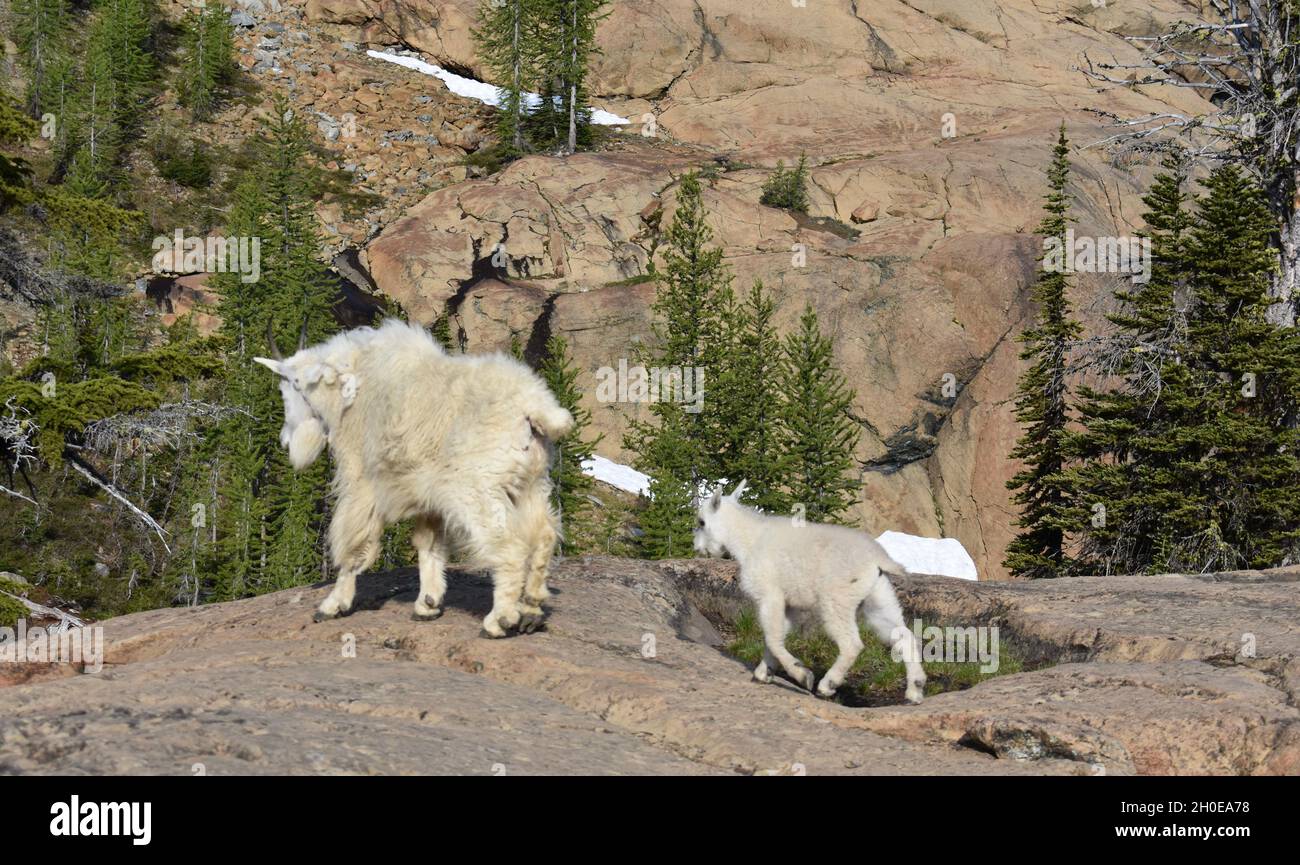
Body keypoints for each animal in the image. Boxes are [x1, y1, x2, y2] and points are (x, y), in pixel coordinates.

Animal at [254, 318, 574, 637]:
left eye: (291, 386)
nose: (286, 442)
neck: (351, 387)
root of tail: (535, 410)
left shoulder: (362, 483)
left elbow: (354, 544)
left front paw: (333, 605)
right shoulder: (428, 496)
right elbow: (428, 544)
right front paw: (427, 604)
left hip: (477, 489)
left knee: (509, 548)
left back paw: (500, 620)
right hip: (530, 484)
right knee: (544, 535)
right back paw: (531, 611)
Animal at [694, 481, 926, 703]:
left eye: (701, 522)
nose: (698, 549)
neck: (748, 540)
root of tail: (877, 558)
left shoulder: (769, 595)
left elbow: (772, 638)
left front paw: (802, 674)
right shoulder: (790, 605)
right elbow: (775, 636)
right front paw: (763, 674)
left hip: (837, 600)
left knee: (852, 644)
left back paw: (827, 685)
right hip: (878, 596)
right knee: (903, 635)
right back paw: (915, 689)